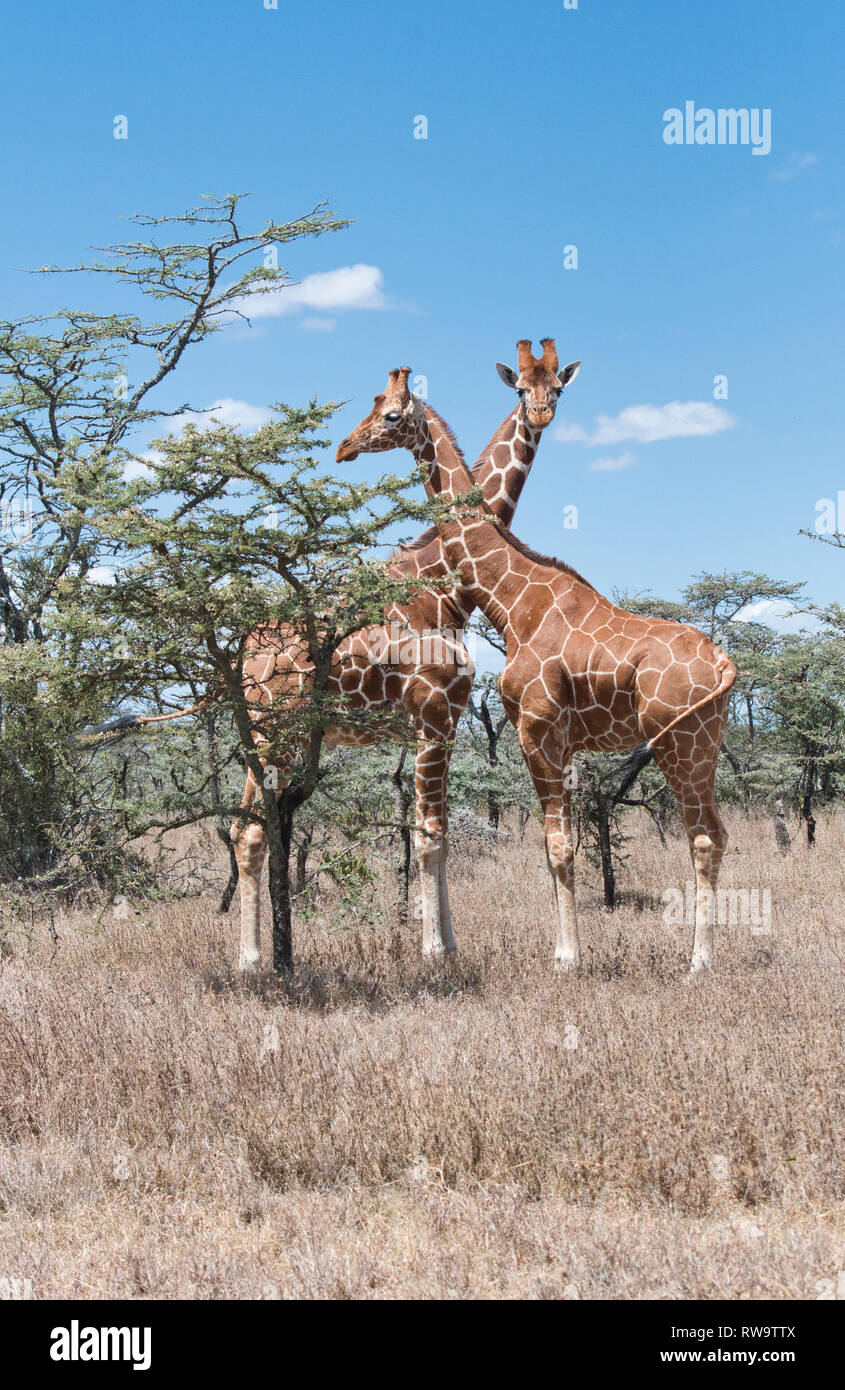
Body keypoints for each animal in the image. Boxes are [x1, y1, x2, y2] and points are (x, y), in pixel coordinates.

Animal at [232, 341, 581, 968]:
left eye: (557, 387)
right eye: (521, 388)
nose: (343, 446)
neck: (440, 586)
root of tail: (242, 653)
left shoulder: (446, 721)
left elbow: (436, 834)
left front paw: (449, 943)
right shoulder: (432, 714)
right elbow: (429, 836)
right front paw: (435, 951)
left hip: (280, 736)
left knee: (245, 831)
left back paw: (254, 957)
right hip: (274, 731)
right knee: (248, 832)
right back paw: (251, 961)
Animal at [340, 373, 737, 974]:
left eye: (389, 415)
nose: (345, 445)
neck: (509, 600)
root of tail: (722, 661)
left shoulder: (536, 729)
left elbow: (557, 846)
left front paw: (567, 958)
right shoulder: (559, 740)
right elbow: (558, 844)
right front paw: (568, 950)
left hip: (681, 744)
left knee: (703, 837)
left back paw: (699, 963)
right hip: (705, 746)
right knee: (716, 832)